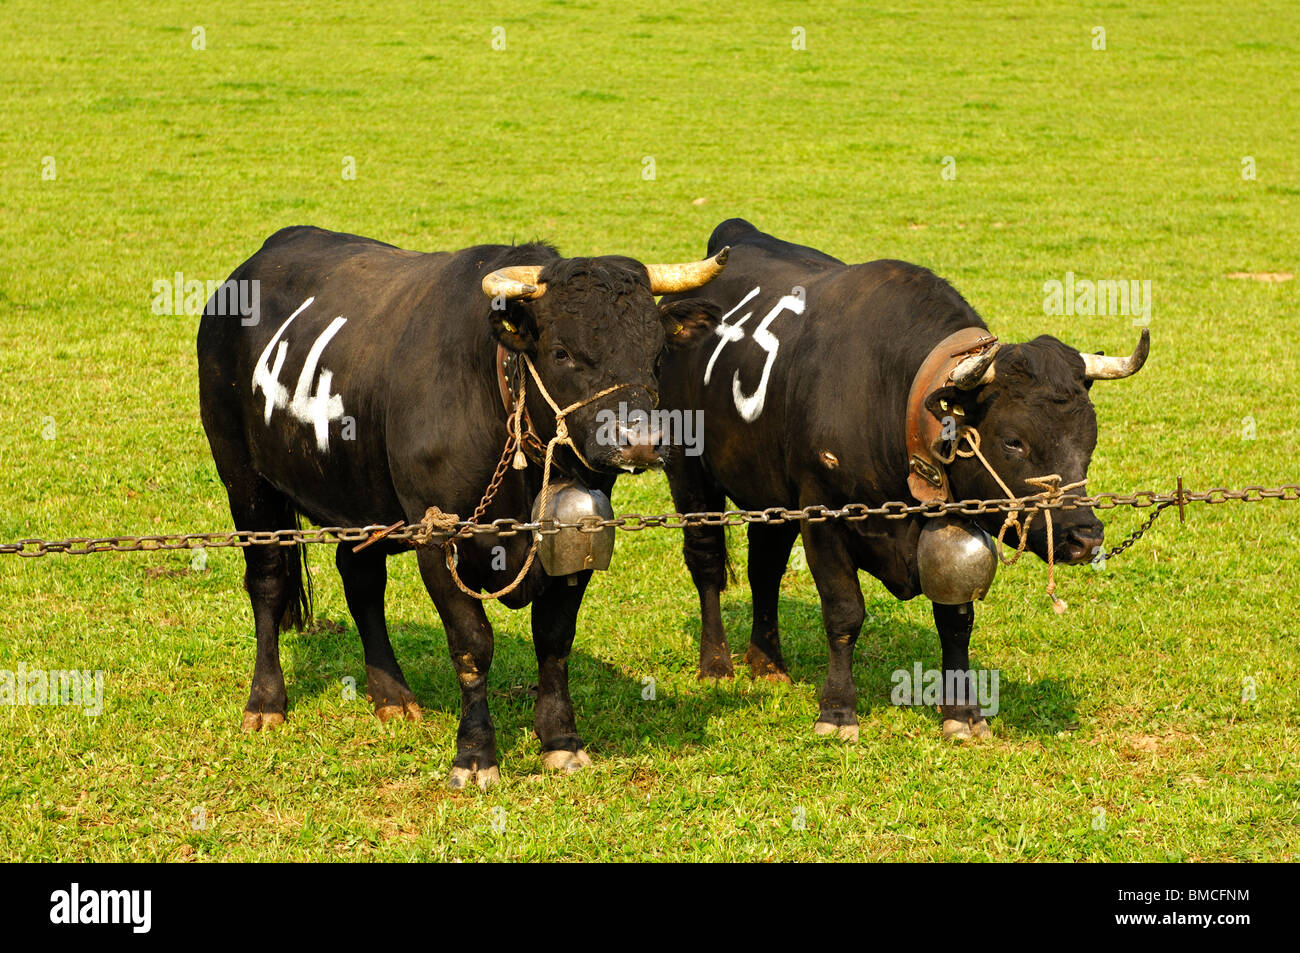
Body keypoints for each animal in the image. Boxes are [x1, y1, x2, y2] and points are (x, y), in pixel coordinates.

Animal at [197, 226, 726, 788]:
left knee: (360, 580)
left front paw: (561, 741)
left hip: (358, 497)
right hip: (244, 480)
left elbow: (555, 640)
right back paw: (266, 701)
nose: (641, 442)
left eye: (656, 354)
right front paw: (475, 755)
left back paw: (392, 695)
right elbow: (473, 645)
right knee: (269, 582)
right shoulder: (437, 539)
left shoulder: (575, 538)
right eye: (561, 351)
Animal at [658, 218, 1150, 741]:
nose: (1084, 537)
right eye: (1013, 441)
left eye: (1089, 437)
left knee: (764, 567)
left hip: (768, 491)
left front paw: (962, 713)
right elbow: (844, 612)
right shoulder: (821, 512)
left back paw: (768, 662)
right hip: (689, 472)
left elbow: (955, 620)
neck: (893, 402)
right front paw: (837, 711)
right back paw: (716, 664)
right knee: (707, 562)